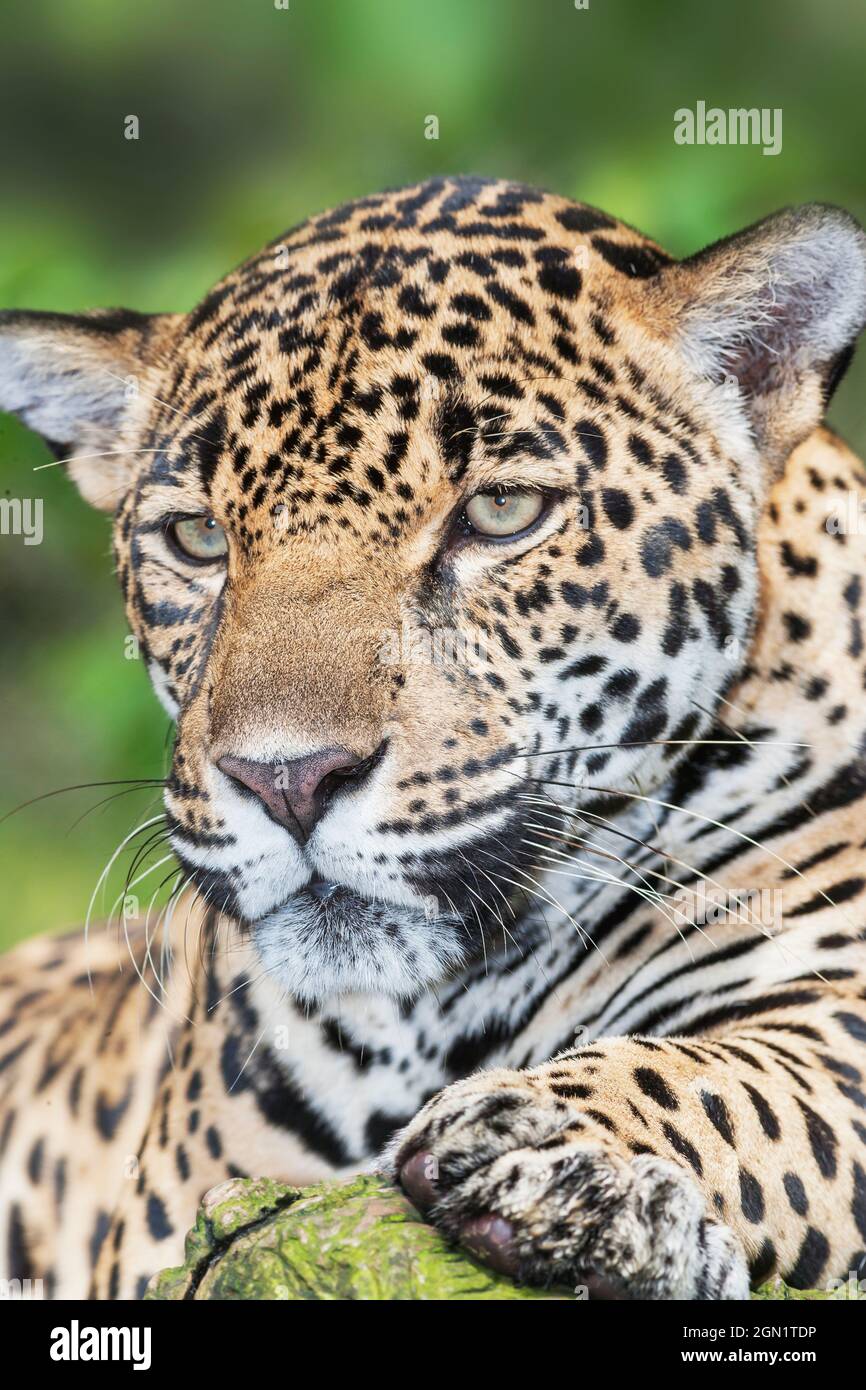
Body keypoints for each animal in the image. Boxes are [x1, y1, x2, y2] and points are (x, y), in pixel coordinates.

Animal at [1, 175, 866, 1301]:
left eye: (499, 512)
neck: (436, 1020)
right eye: (195, 538)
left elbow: (751, 1080)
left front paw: (562, 1151)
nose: (288, 781)